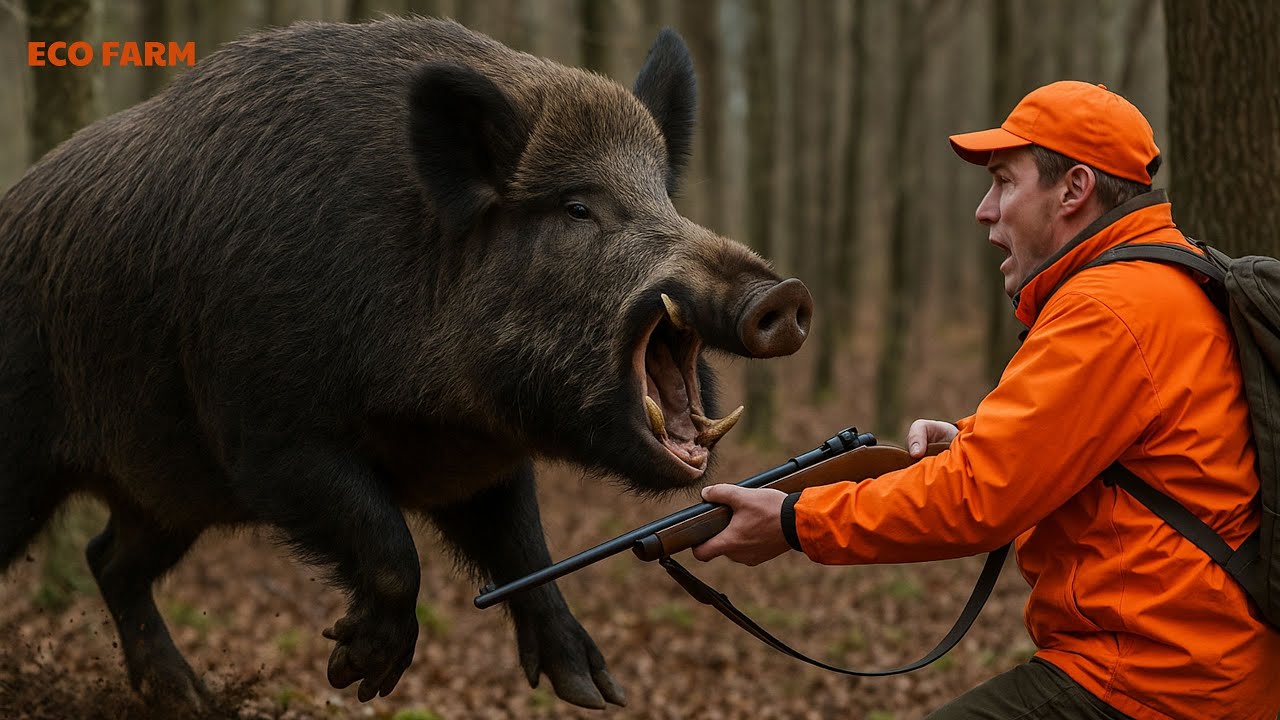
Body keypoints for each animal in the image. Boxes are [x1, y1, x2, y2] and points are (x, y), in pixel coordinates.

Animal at [0, 16, 812, 715]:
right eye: (577, 207)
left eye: (663, 194)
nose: (782, 294)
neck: (438, 414)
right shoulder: (265, 431)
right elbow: (392, 542)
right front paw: (354, 675)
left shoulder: (479, 464)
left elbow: (524, 544)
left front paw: (593, 689)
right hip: (41, 455)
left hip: (167, 496)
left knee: (109, 558)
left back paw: (188, 700)